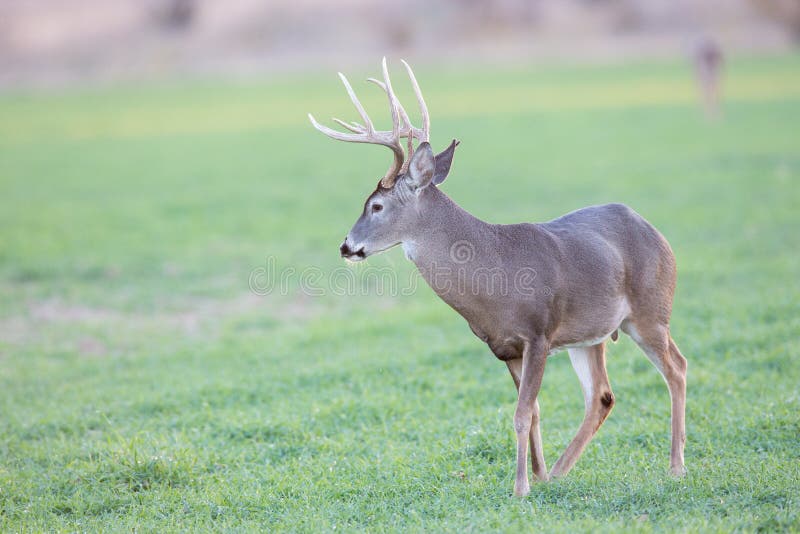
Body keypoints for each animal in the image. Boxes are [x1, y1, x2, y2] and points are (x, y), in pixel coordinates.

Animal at [309, 58, 687, 497]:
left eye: (376, 206)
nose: (346, 246)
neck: (495, 276)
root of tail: (655, 231)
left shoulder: (539, 333)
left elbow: (522, 413)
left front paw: (521, 488)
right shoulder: (505, 347)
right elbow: (534, 412)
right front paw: (538, 477)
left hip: (650, 311)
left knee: (676, 369)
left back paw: (676, 466)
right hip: (591, 334)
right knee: (602, 395)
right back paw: (561, 472)